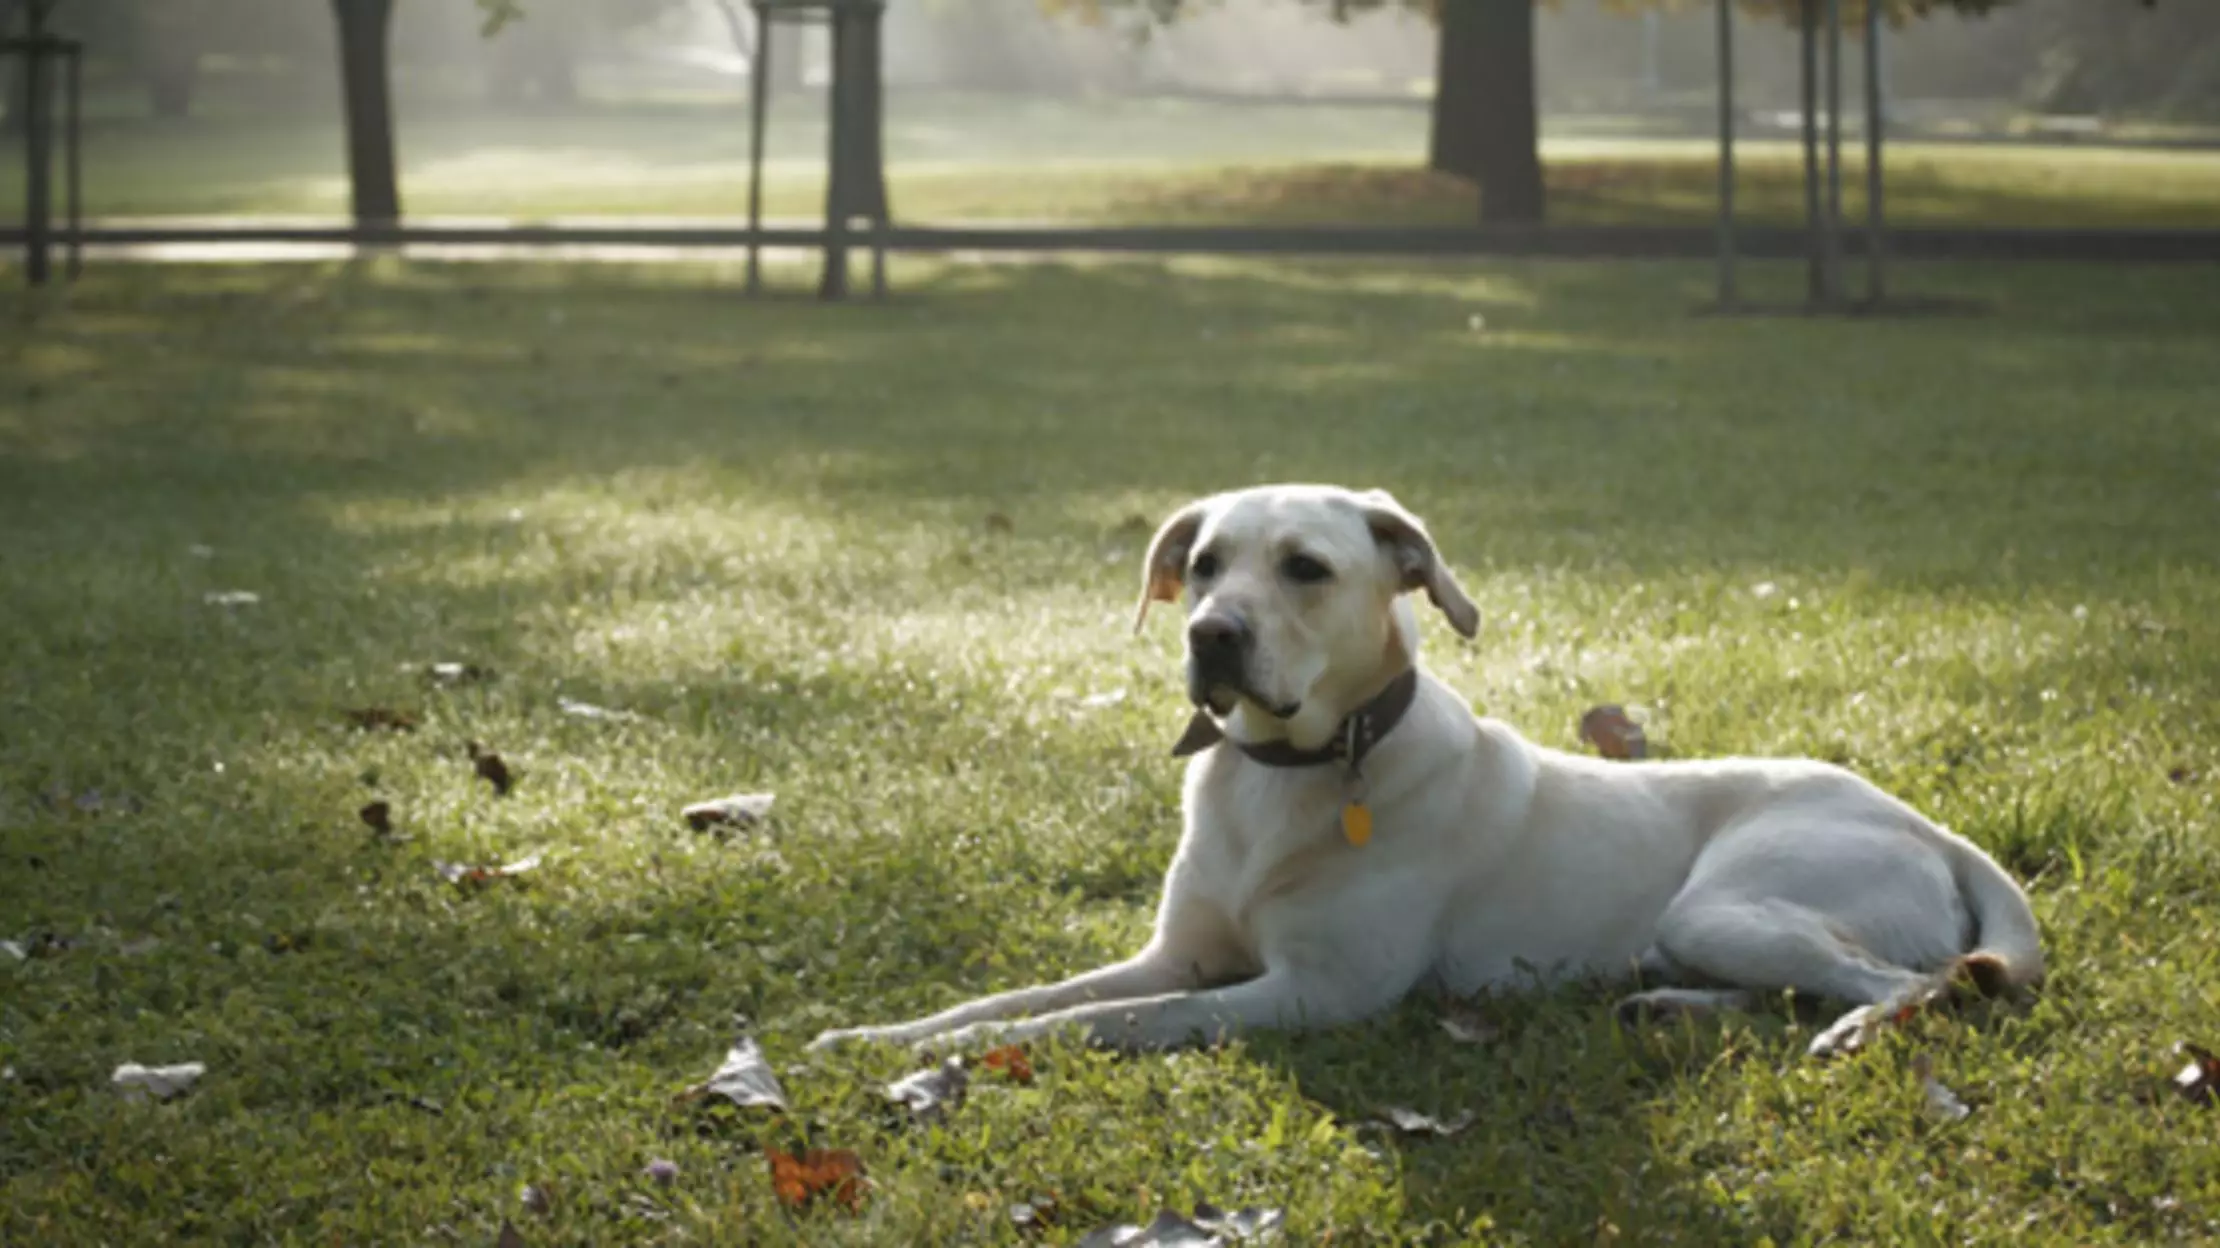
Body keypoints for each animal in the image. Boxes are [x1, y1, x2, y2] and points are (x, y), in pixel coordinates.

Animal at [808, 481, 2033, 1052]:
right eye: (1201, 562)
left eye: (1304, 568)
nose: (1209, 635)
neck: (1288, 776)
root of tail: (1928, 825)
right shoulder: (1175, 953)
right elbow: (1021, 995)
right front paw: (877, 1039)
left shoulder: (1315, 991)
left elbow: (1100, 1023)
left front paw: (984, 1055)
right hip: (1712, 928)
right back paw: (1674, 1006)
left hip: (1730, 902)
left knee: (1915, 981)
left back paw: (1855, 1031)